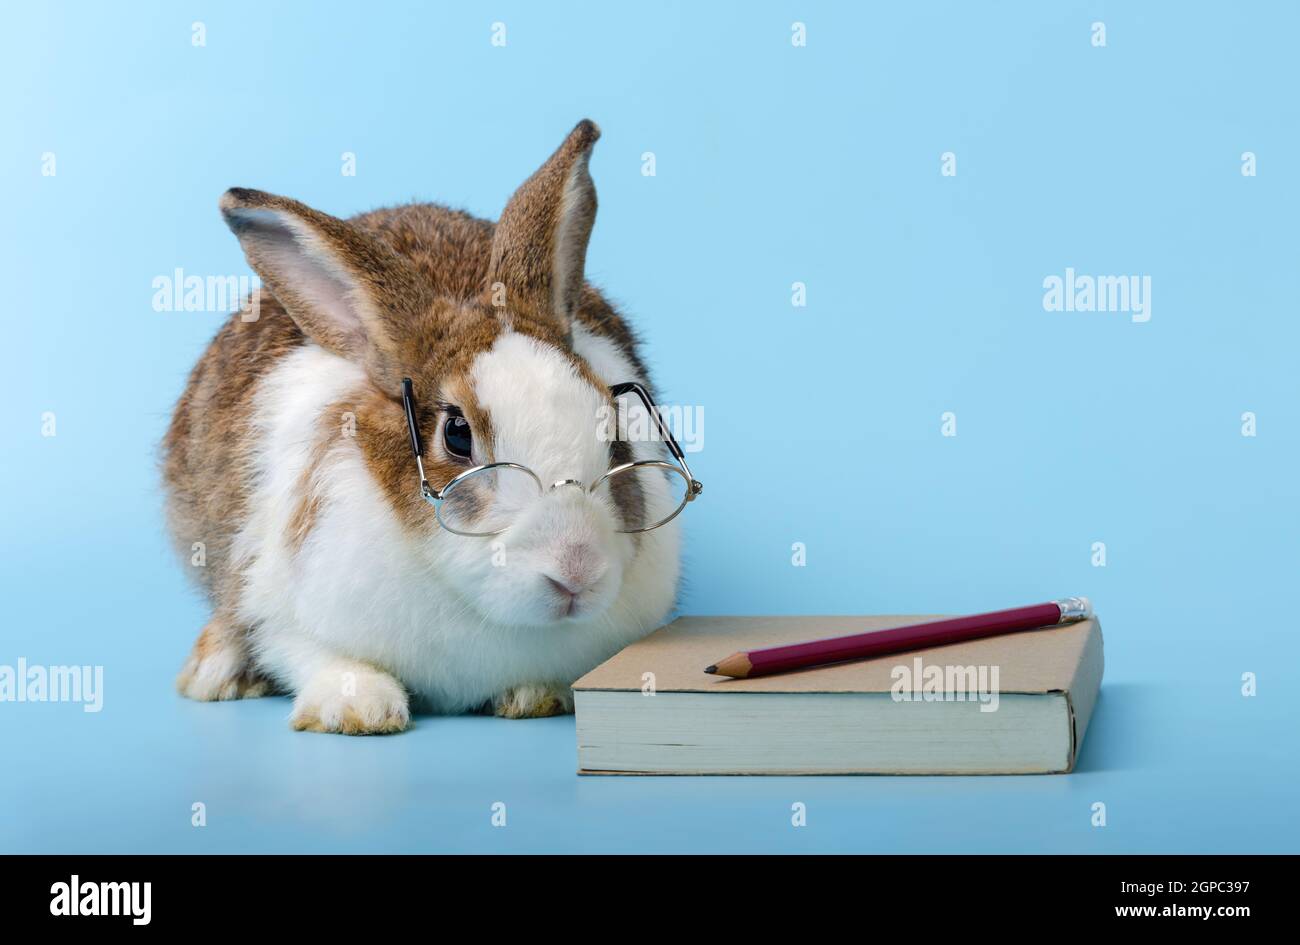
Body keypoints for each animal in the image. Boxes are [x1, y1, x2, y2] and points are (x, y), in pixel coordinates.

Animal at [164, 120, 686, 733]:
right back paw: (215, 675)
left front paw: (535, 697)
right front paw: (359, 709)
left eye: (615, 435)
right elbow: (310, 652)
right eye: (456, 436)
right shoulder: (279, 607)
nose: (575, 571)